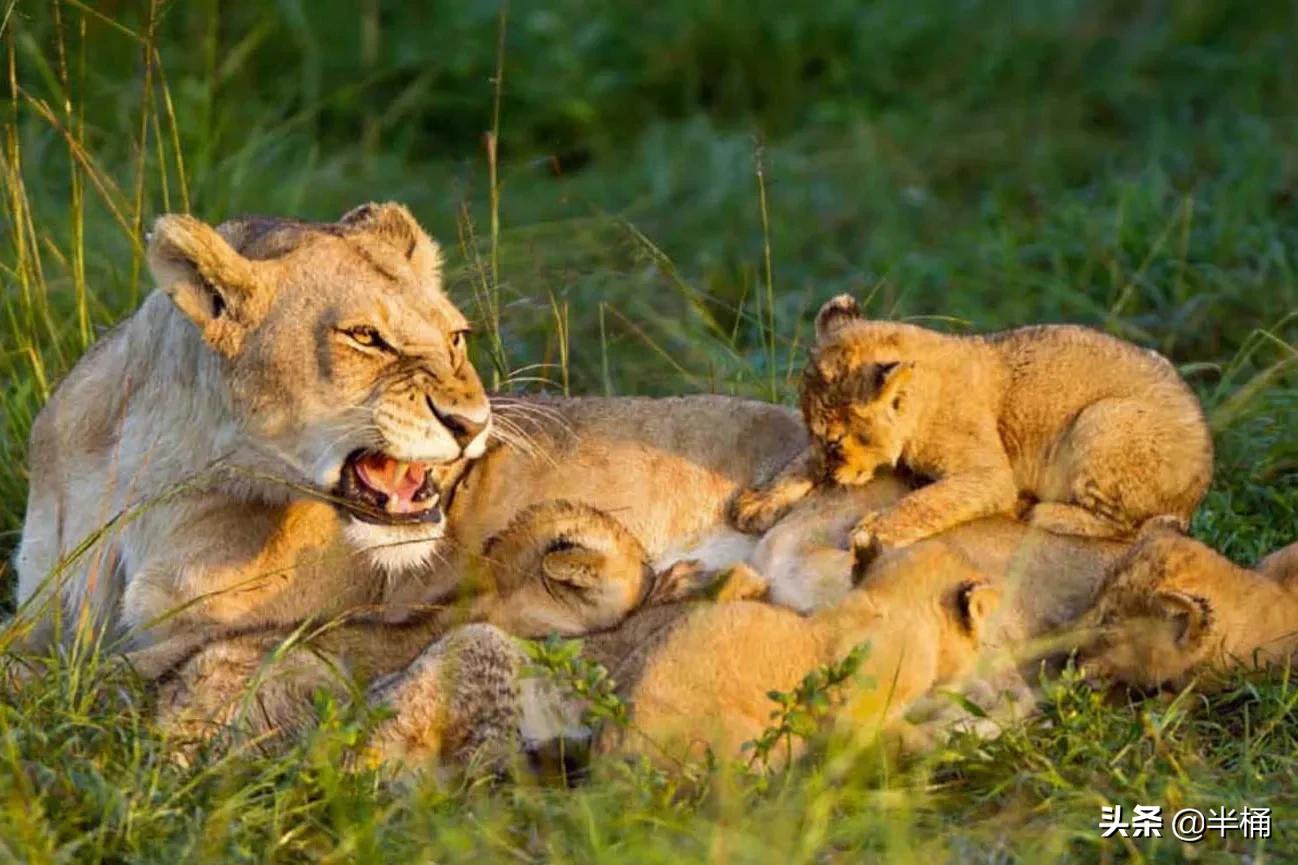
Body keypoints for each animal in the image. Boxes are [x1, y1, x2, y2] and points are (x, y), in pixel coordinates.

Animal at [730, 294, 1213, 563]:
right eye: (815, 435)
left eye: (836, 441)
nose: (833, 479)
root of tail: (1199, 486)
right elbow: (796, 463)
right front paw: (759, 501)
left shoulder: (988, 475)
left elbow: (927, 501)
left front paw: (874, 530)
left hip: (1103, 420)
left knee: (1132, 527)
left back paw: (1037, 510)